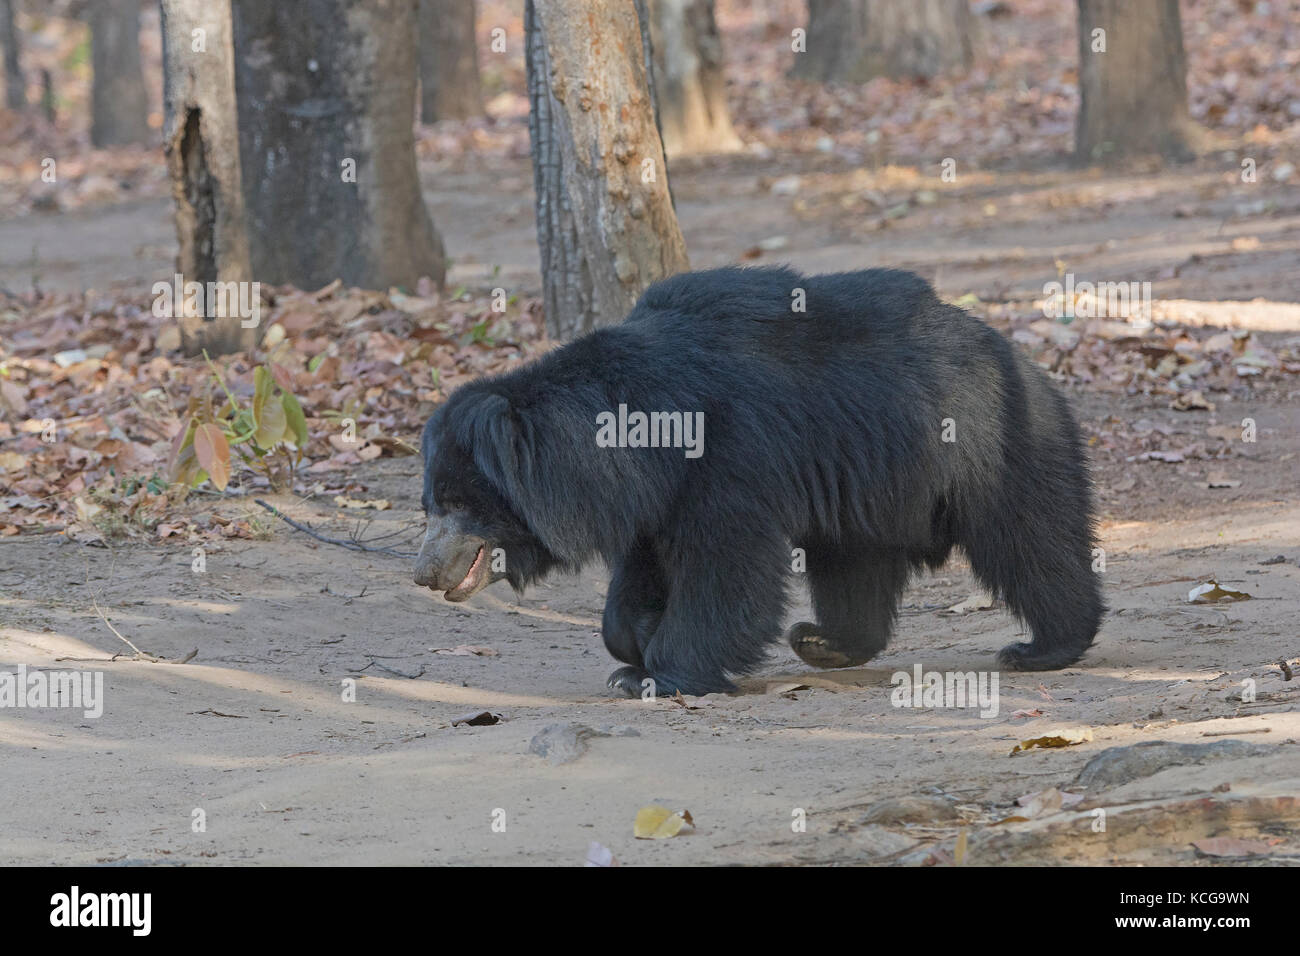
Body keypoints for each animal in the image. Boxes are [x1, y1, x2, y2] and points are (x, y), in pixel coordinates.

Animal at [413, 266, 1103, 697]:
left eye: (456, 503)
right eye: (429, 505)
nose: (423, 572)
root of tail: (1019, 354)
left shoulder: (728, 457)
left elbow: (727, 567)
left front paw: (656, 674)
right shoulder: (655, 496)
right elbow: (640, 575)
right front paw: (634, 643)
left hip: (985, 443)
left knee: (1029, 538)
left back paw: (1042, 647)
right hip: (867, 484)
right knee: (855, 566)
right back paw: (825, 643)